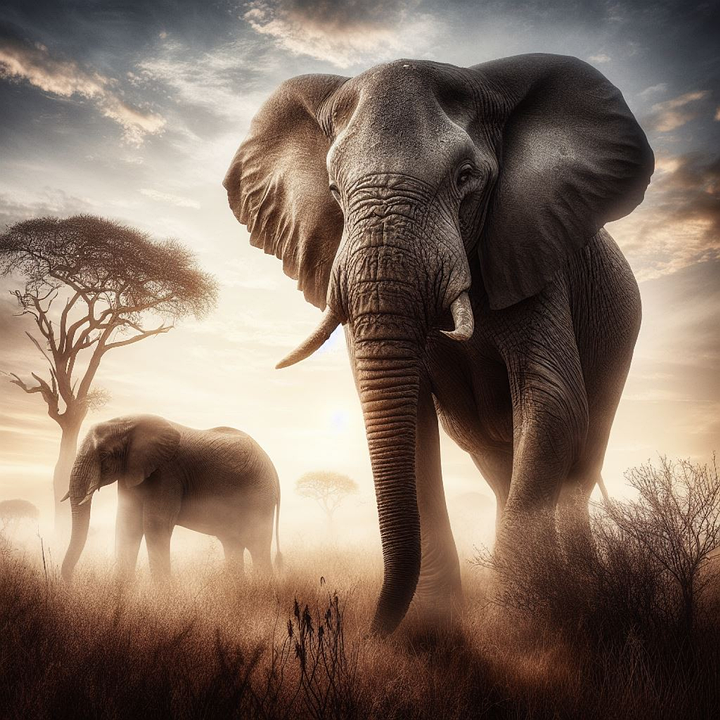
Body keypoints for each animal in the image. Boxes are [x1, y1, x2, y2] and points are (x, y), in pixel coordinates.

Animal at [61, 415, 282, 581]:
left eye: (106, 455)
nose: (70, 580)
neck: (127, 422)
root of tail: (274, 470)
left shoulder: (167, 474)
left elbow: (155, 525)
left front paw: (162, 599)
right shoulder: (131, 473)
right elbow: (127, 524)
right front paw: (122, 592)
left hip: (259, 498)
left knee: (257, 548)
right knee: (233, 546)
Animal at [223, 54, 653, 635]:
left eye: (465, 178)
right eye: (333, 189)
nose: (367, 632)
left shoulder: (535, 254)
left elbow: (553, 402)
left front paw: (516, 627)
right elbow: (409, 420)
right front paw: (432, 623)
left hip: (619, 336)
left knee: (576, 467)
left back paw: (581, 587)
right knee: (497, 466)